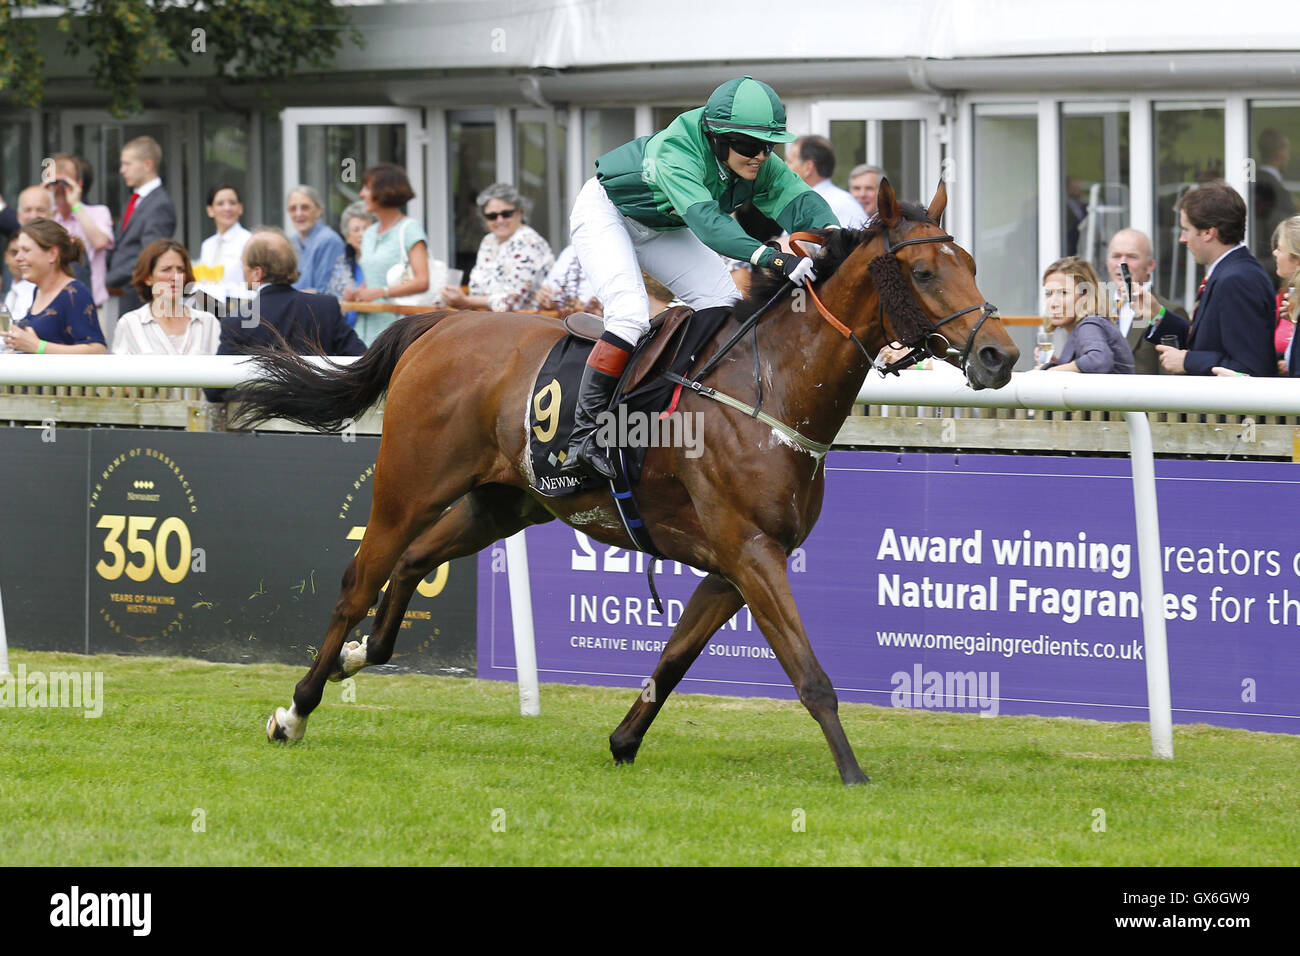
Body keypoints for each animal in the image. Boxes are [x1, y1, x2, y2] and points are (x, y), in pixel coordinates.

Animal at [235, 178, 1018, 785]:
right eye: (924, 274)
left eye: (973, 264)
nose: (1000, 354)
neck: (769, 391)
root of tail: (437, 326)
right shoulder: (753, 554)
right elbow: (811, 675)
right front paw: (853, 774)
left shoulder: (730, 567)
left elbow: (673, 660)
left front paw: (622, 742)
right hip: (408, 485)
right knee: (359, 580)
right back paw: (296, 709)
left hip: (503, 504)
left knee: (411, 564)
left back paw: (360, 657)